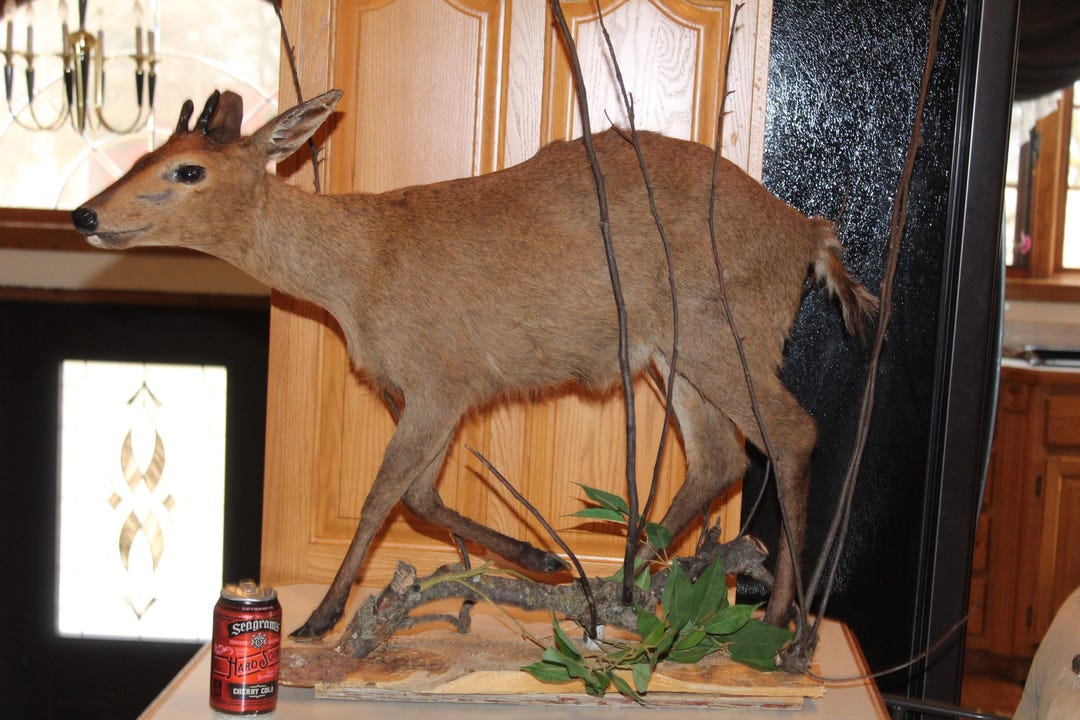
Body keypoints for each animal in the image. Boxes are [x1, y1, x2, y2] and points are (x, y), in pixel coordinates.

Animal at [72, 90, 876, 639]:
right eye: (144, 154)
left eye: (189, 169)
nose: (85, 215)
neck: (357, 270)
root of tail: (809, 234)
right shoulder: (441, 393)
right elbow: (421, 495)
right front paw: (542, 560)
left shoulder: (438, 382)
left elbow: (381, 496)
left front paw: (321, 617)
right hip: (675, 358)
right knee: (720, 458)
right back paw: (626, 582)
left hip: (722, 337)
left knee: (791, 433)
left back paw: (779, 626)